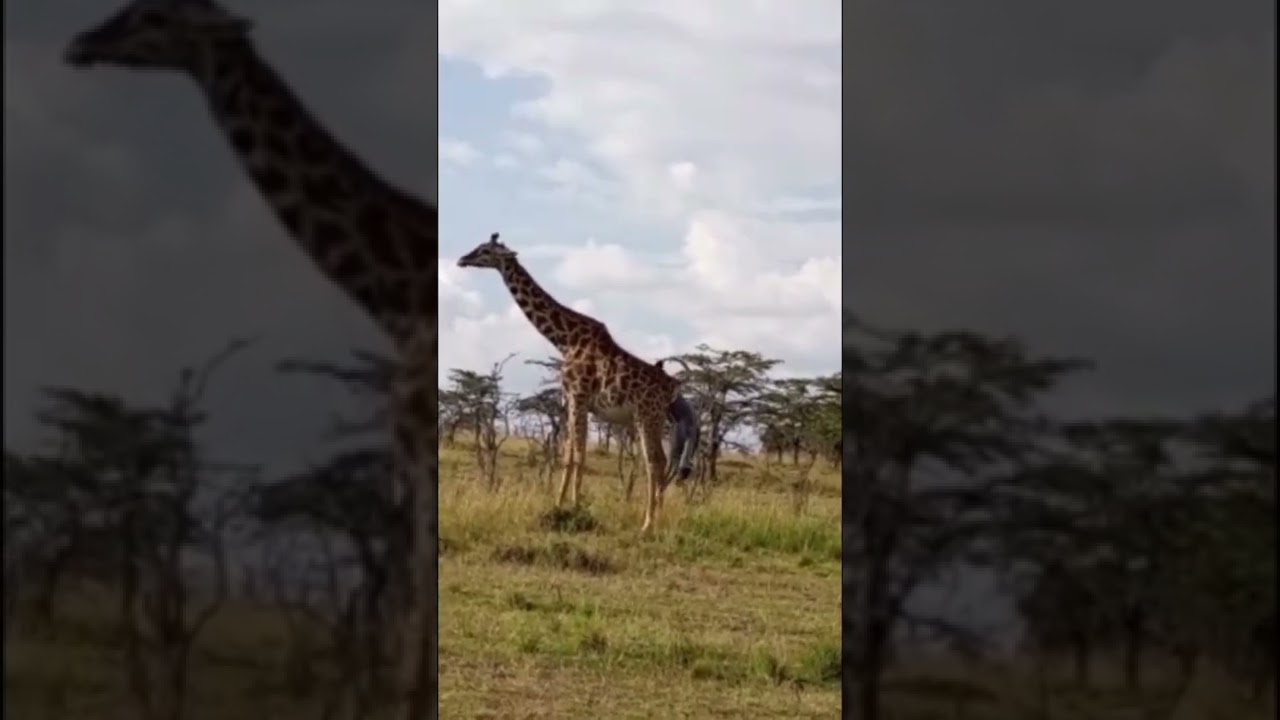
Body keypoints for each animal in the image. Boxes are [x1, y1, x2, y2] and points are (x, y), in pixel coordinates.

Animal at [457, 233, 700, 534]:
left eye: (485, 251)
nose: (462, 259)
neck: (564, 339)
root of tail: (672, 388)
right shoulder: (570, 400)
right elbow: (568, 453)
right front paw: (559, 505)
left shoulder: (579, 397)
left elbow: (579, 455)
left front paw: (574, 508)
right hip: (652, 419)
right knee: (659, 463)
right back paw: (656, 518)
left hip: (647, 416)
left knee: (656, 462)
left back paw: (648, 524)